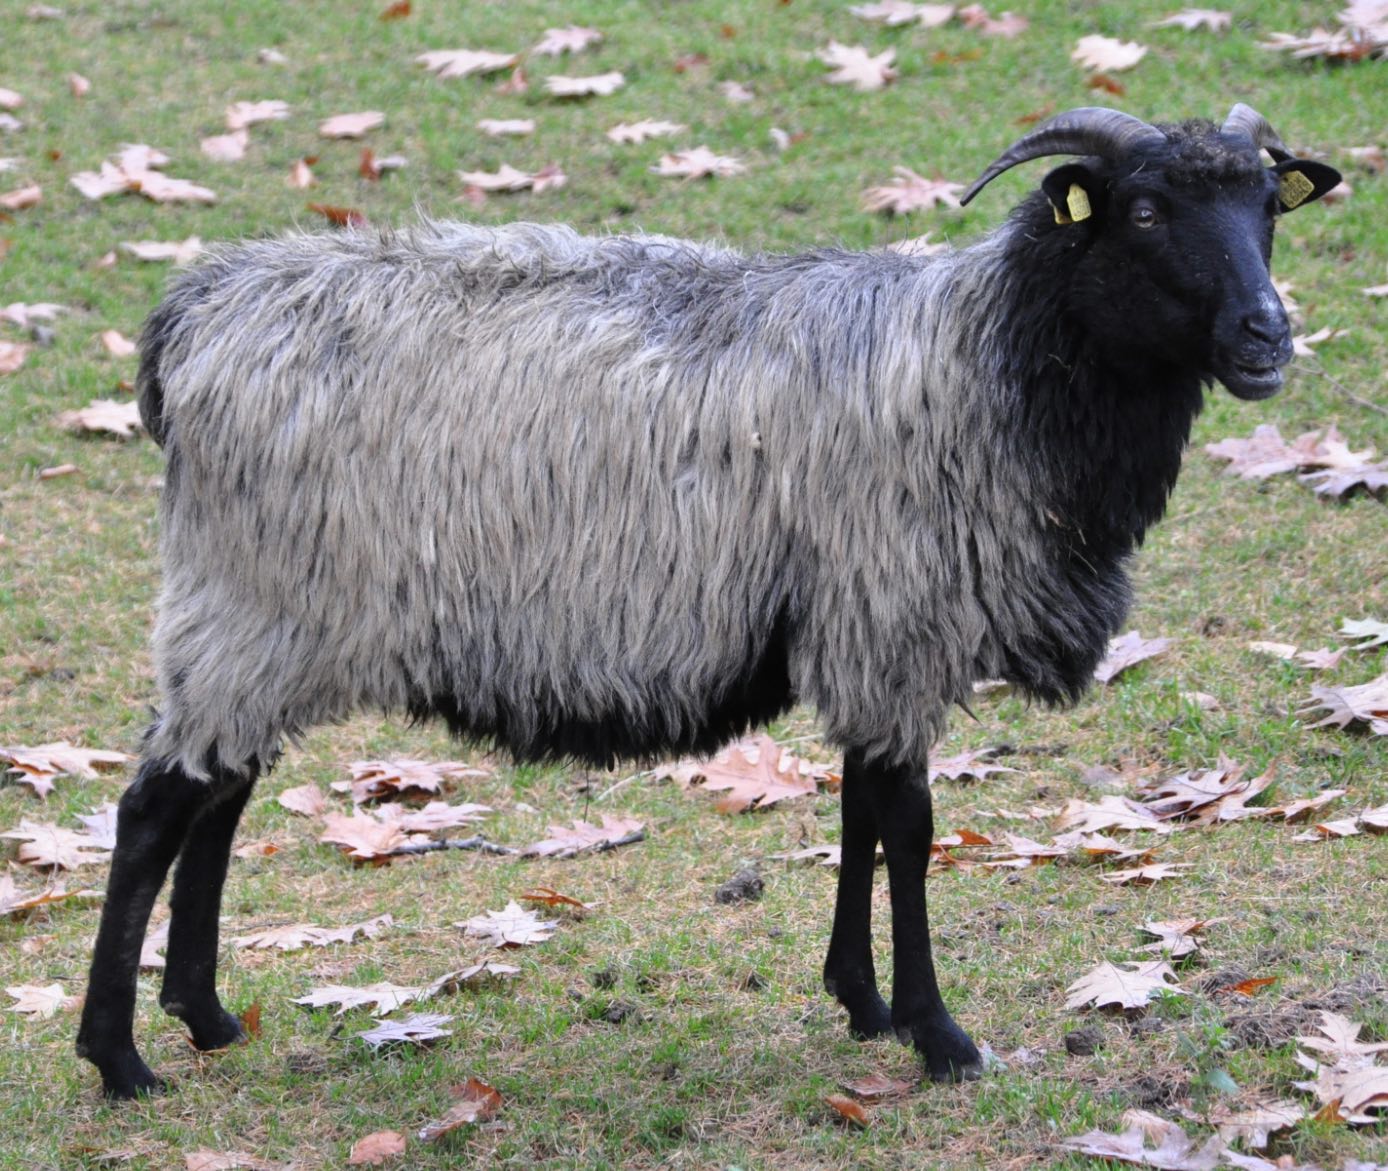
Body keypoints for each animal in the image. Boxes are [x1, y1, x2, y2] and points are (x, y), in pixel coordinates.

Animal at [76, 105, 1340, 1099]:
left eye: (1265, 206)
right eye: (1144, 212)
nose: (1265, 334)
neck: (994, 361)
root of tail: (196, 313)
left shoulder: (860, 622)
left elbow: (858, 810)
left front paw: (860, 1001)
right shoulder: (893, 614)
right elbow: (908, 825)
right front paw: (937, 1035)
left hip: (265, 620)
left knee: (218, 799)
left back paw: (204, 1016)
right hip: (250, 605)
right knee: (153, 810)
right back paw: (118, 1057)